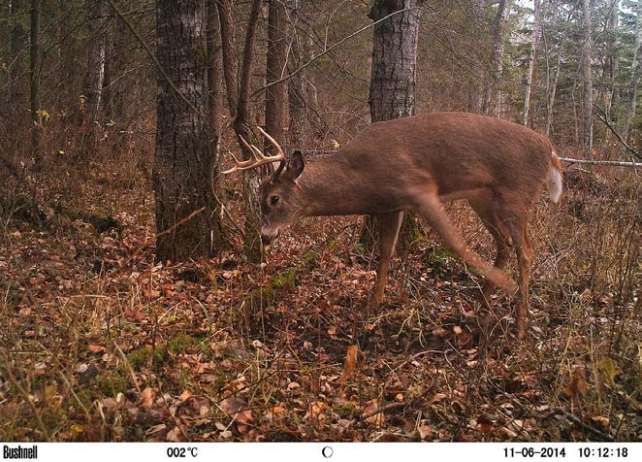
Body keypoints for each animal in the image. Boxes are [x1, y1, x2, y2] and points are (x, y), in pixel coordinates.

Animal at [224, 112, 563, 339]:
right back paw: (481, 304)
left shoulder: (418, 187)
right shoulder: (394, 205)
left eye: (274, 198)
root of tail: (551, 150)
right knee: (504, 244)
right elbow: (386, 252)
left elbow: (455, 243)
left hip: (517, 193)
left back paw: (519, 320)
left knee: (527, 251)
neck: (363, 176)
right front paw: (373, 305)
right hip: (482, 198)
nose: (265, 236)